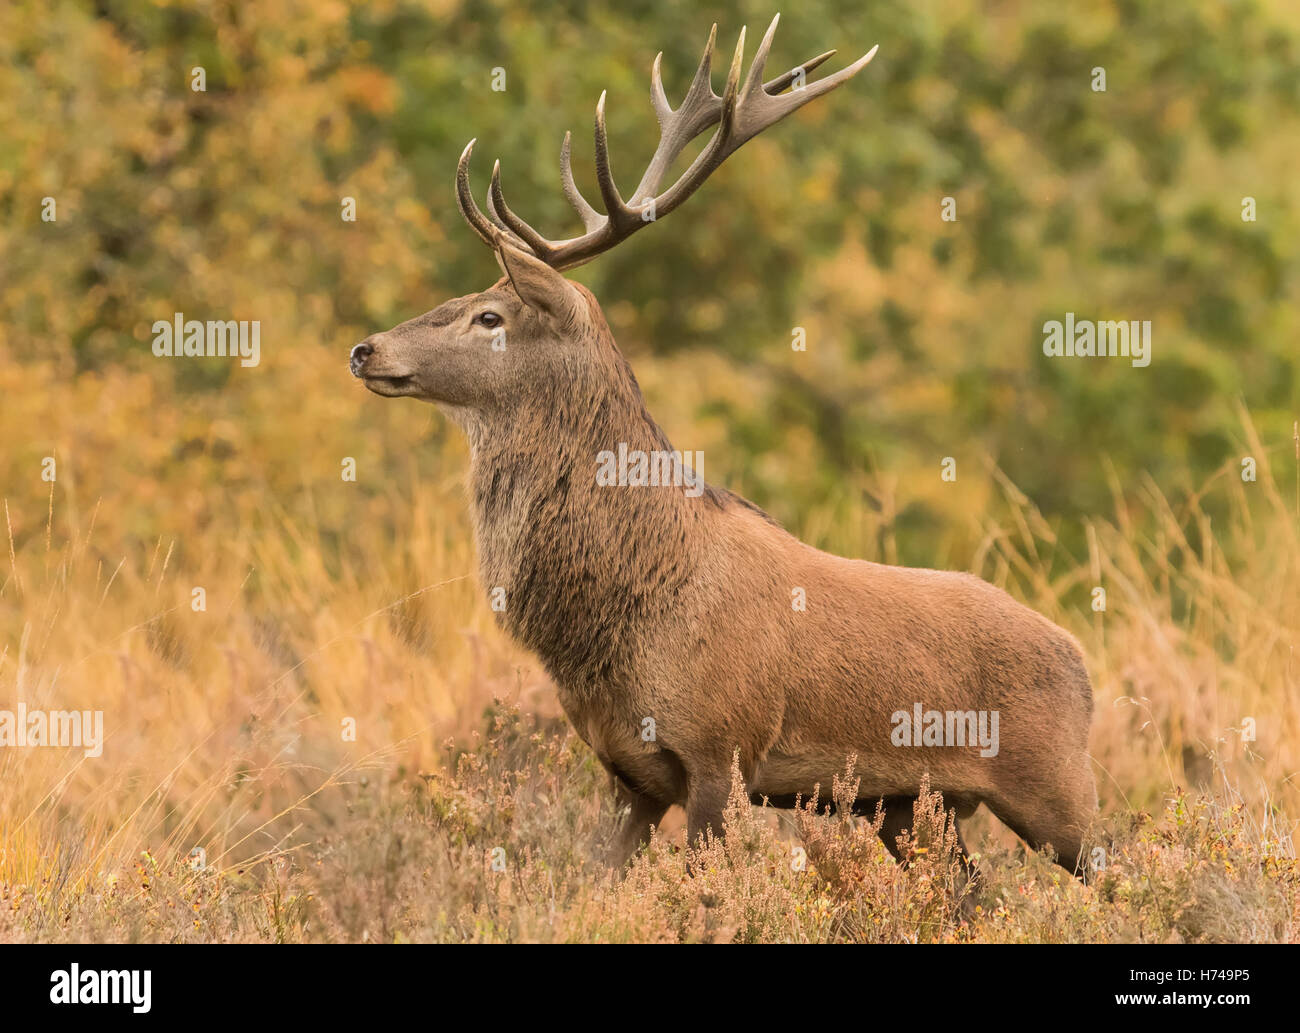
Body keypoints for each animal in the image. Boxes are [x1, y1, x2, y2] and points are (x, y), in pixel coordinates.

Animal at [349, 15, 1098, 876]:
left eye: (490, 316)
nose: (365, 349)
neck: (627, 612)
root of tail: (1084, 663)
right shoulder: (628, 773)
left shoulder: (723, 747)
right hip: (910, 807)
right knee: (972, 888)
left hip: (1058, 788)